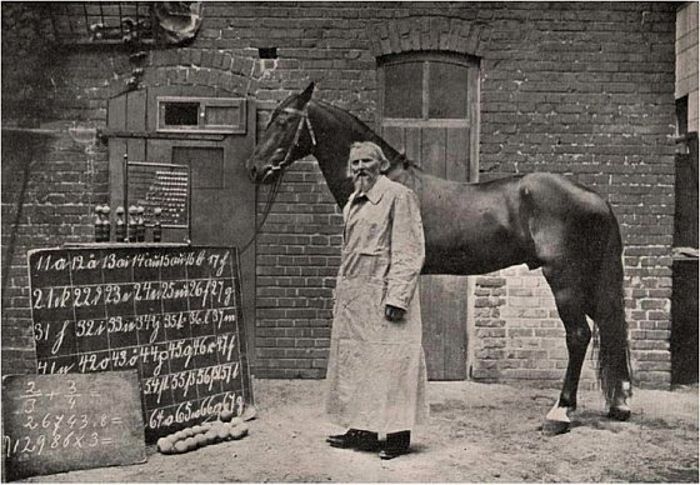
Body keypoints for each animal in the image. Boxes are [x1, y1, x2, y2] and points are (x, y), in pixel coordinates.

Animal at [245, 82, 633, 432]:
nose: (255, 168)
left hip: (565, 279)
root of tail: (597, 199)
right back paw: (619, 403)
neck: (385, 184)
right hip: (587, 281)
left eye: (284, 121)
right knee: (609, 325)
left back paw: (560, 412)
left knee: (579, 335)